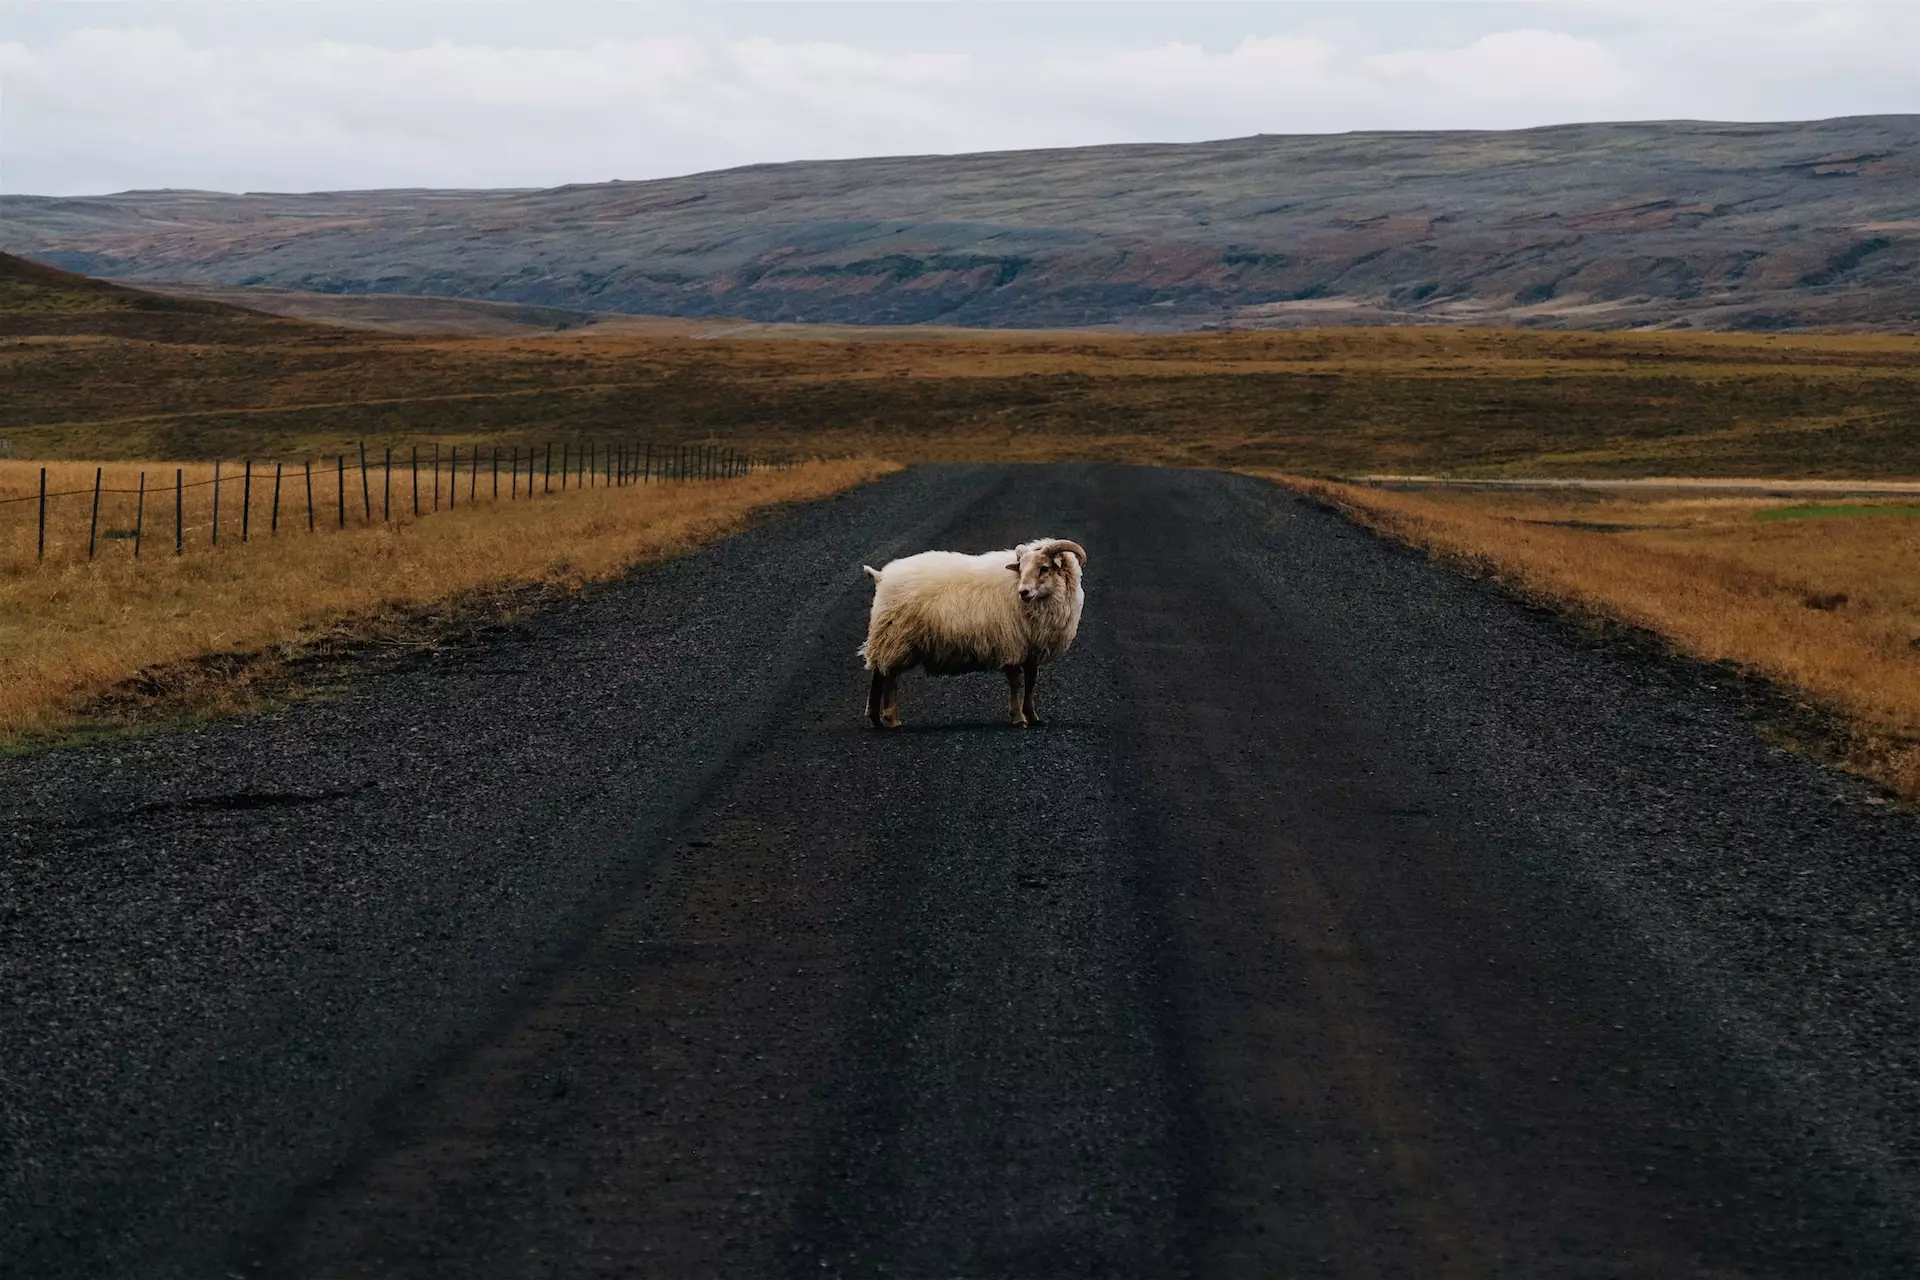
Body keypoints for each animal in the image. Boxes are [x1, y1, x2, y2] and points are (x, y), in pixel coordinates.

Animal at [858, 538, 1088, 729]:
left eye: (1044, 568)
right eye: (1021, 568)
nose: (1023, 592)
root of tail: (881, 576)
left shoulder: (1031, 648)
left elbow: (1031, 683)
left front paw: (1032, 717)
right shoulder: (1012, 643)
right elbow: (1016, 682)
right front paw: (1018, 717)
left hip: (891, 638)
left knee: (882, 674)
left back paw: (876, 718)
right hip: (896, 638)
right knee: (888, 677)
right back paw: (892, 719)